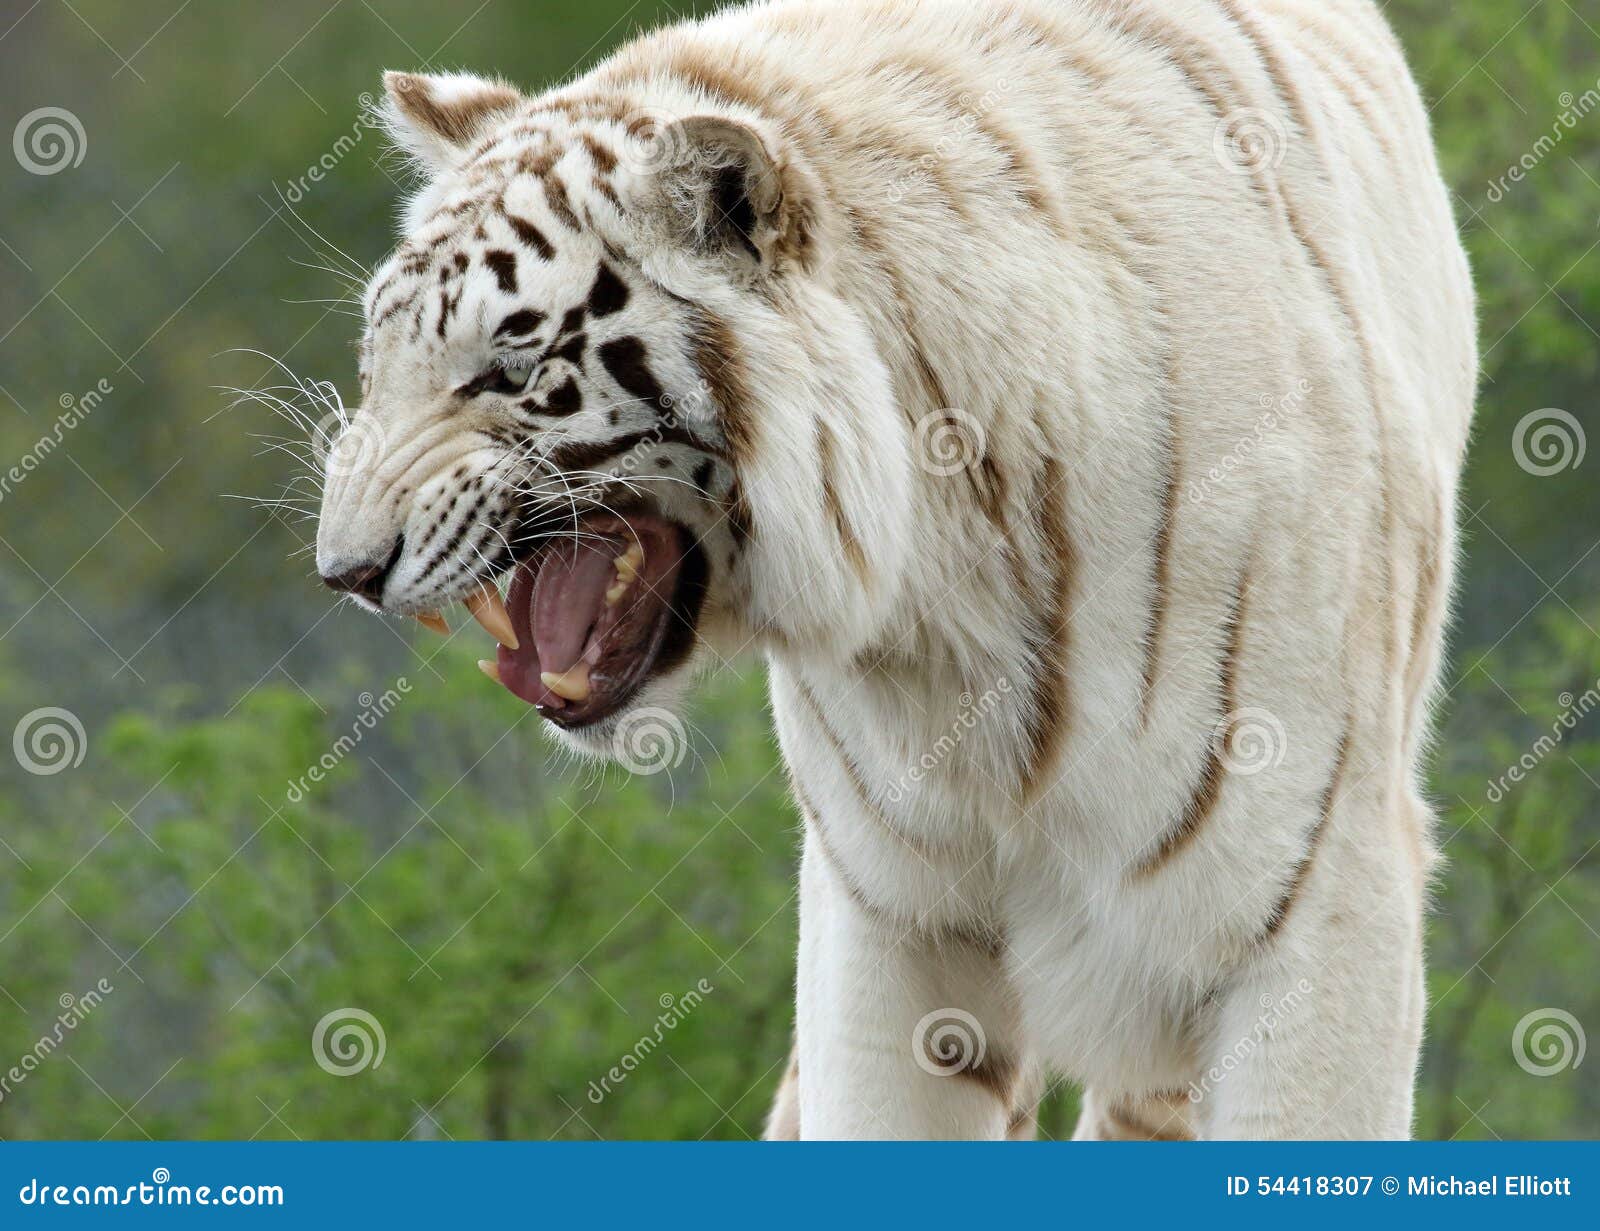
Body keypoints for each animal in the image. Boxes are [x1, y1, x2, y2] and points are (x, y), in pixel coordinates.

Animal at [312, 0, 1475, 1140]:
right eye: (377, 358)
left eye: (508, 368)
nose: (344, 571)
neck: (958, 577)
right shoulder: (886, 915)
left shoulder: (1319, 898)